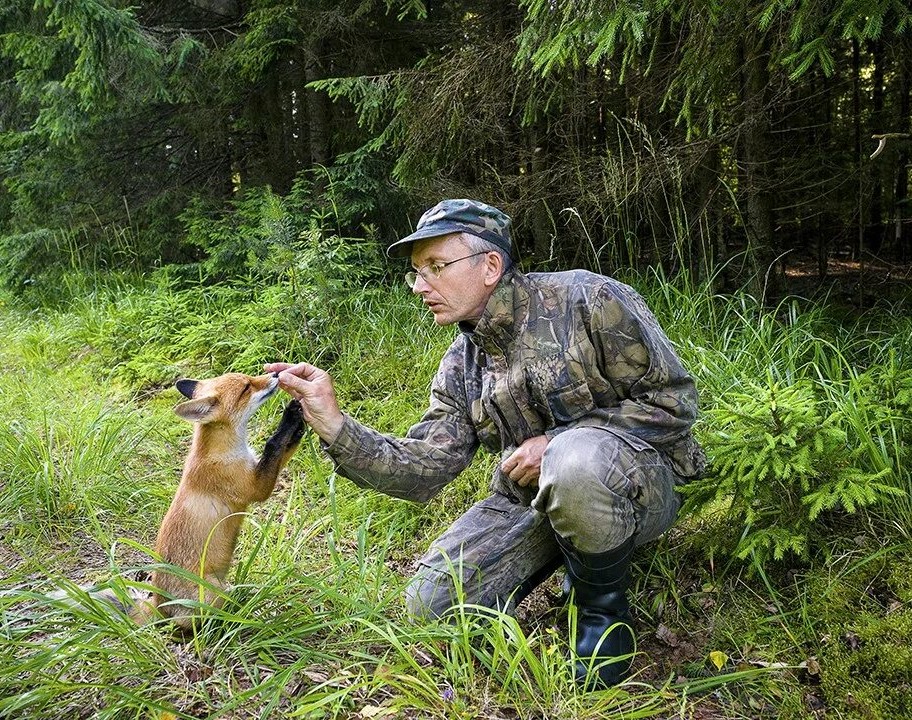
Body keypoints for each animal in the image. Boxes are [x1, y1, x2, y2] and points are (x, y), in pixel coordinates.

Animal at [55, 372, 304, 632]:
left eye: (249, 378)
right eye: (246, 387)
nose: (275, 374)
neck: (221, 451)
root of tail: (158, 603)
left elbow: (285, 449)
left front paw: (299, 425)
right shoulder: (254, 488)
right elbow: (273, 445)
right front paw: (289, 418)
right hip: (212, 593)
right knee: (183, 625)